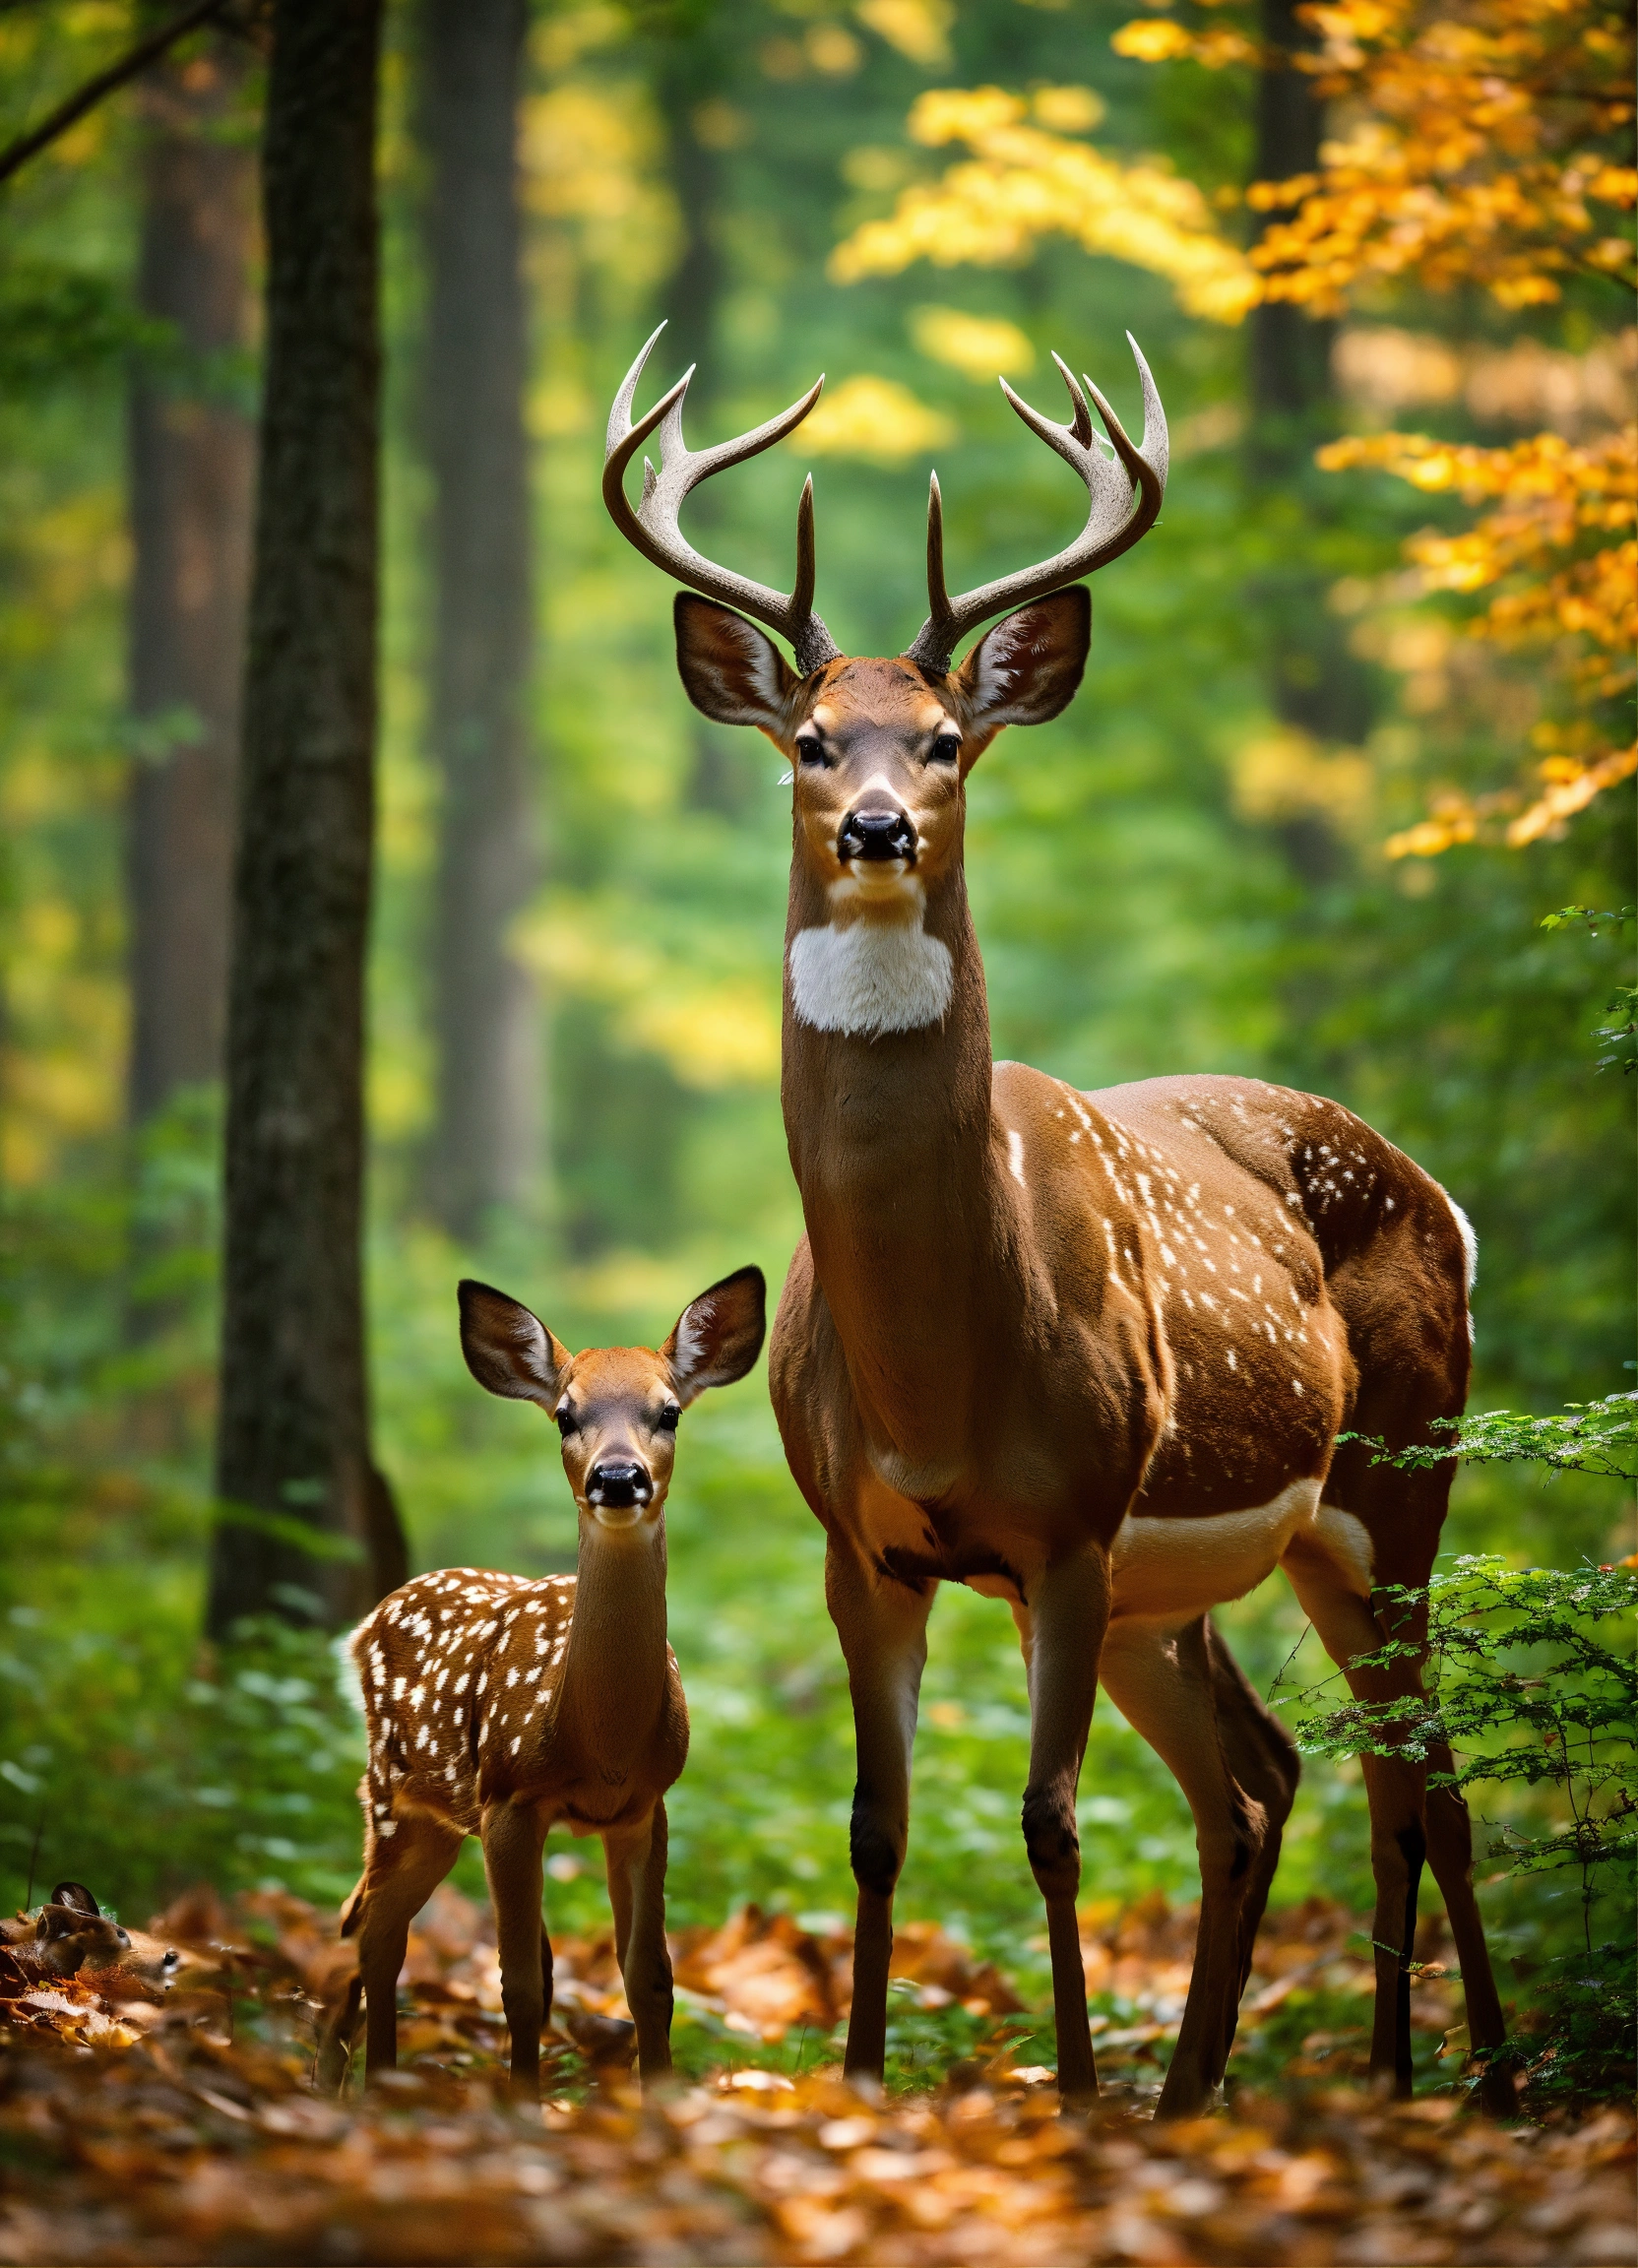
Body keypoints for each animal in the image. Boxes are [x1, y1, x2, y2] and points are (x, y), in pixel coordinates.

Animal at [316, 1265, 766, 2100]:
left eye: (669, 1412)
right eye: (564, 1415)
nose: (617, 1477)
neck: (600, 1744)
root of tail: (366, 1625)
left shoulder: (644, 1806)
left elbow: (648, 1977)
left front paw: (659, 2102)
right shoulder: (509, 1799)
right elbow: (522, 1981)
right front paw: (524, 2104)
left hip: (435, 1819)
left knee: (373, 1923)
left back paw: (368, 2082)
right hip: (392, 1794)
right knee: (369, 1928)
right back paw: (356, 2086)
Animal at [601, 324, 1516, 2117]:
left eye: (949, 736)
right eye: (812, 740)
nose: (878, 825)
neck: (941, 1368)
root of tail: (1439, 1194)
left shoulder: (1075, 1523)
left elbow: (1045, 1821)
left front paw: (1076, 2089)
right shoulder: (861, 1540)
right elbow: (875, 1828)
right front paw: (869, 2074)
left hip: (1395, 1477)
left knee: (1422, 1779)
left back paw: (1466, 2082)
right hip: (1213, 1577)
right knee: (1270, 1776)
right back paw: (1220, 2085)